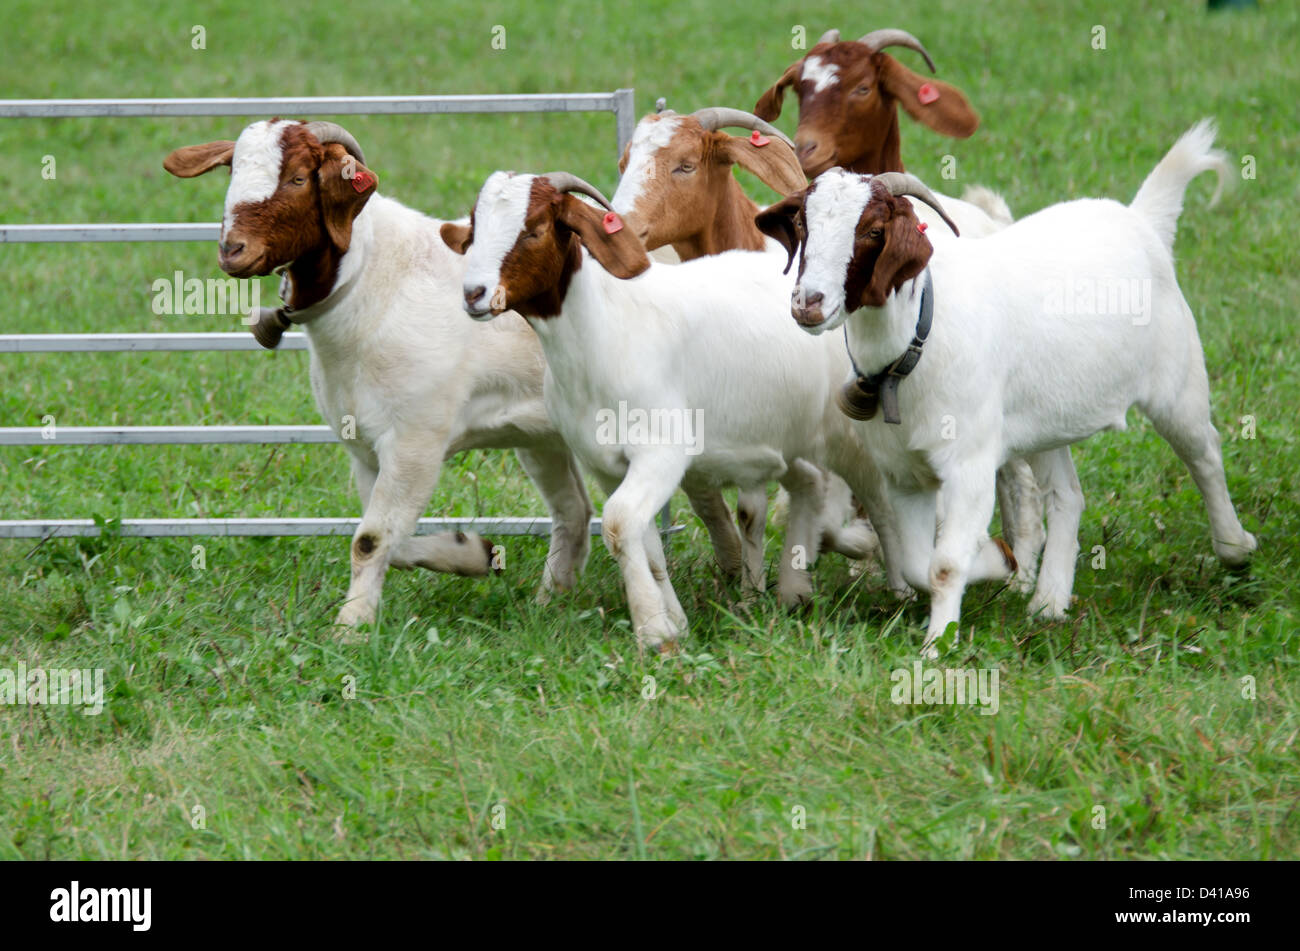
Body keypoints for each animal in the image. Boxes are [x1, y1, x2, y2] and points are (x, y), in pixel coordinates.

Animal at [163, 119, 596, 629]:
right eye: (231, 173)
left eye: (297, 178)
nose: (232, 251)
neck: (372, 283)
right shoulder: (364, 449)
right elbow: (392, 542)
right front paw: (472, 552)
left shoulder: (416, 442)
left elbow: (370, 540)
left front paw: (350, 627)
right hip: (540, 436)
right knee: (573, 510)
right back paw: (552, 600)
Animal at [441, 172, 907, 649]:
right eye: (475, 227)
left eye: (533, 229)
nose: (473, 294)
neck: (603, 327)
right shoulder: (609, 466)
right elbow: (644, 545)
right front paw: (674, 624)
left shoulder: (660, 453)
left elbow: (617, 524)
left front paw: (652, 632)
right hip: (779, 434)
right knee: (810, 482)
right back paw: (793, 590)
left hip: (849, 434)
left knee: (880, 501)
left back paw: (899, 586)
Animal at [758, 121, 1257, 656]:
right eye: (803, 225)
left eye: (872, 231)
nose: (809, 302)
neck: (919, 338)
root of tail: (1142, 221)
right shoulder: (903, 474)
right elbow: (916, 563)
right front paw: (1000, 563)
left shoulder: (969, 464)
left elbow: (944, 562)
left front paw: (937, 646)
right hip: (1045, 422)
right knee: (1067, 495)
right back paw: (1049, 603)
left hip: (1177, 383)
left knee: (1205, 452)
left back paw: (1235, 548)